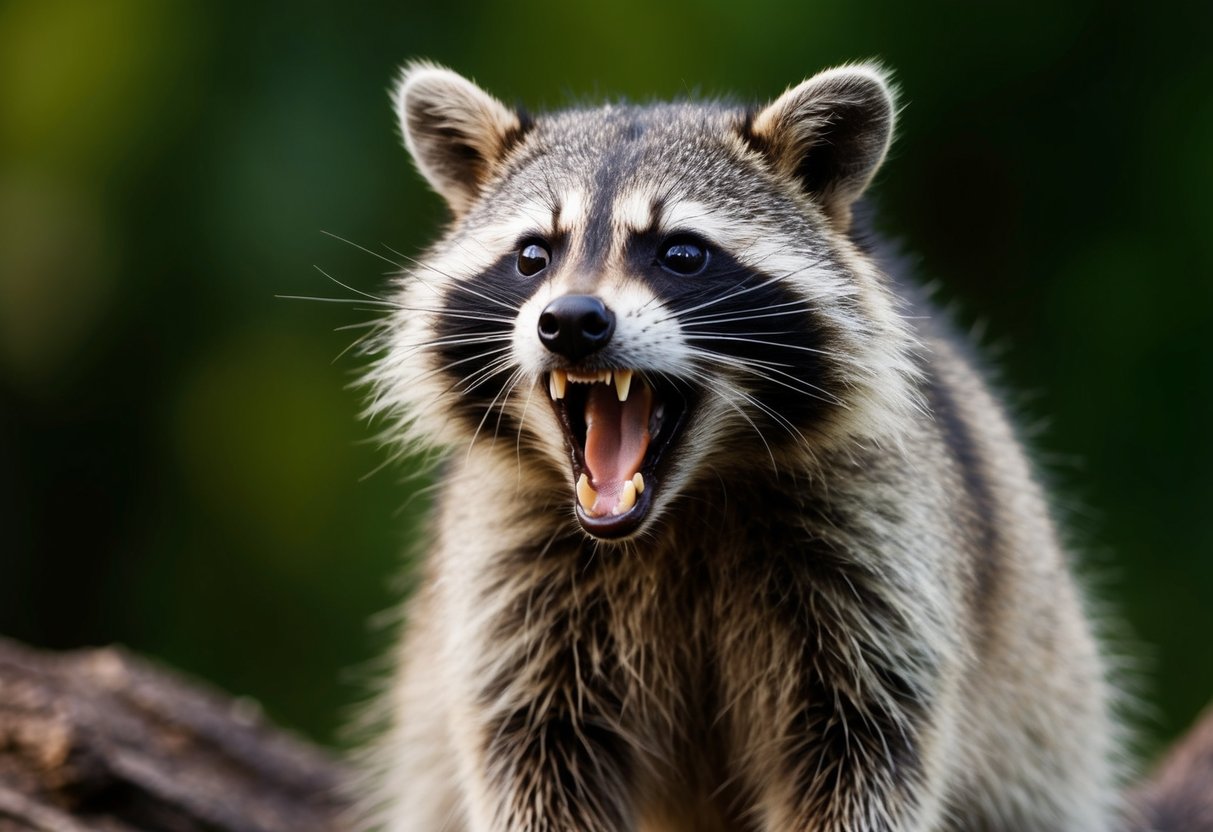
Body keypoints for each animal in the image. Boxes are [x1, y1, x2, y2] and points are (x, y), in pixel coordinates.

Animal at [356, 62, 1123, 832]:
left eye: (681, 253)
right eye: (533, 255)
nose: (571, 321)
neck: (681, 505)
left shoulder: (882, 550)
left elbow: (865, 753)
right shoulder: (513, 570)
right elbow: (534, 751)